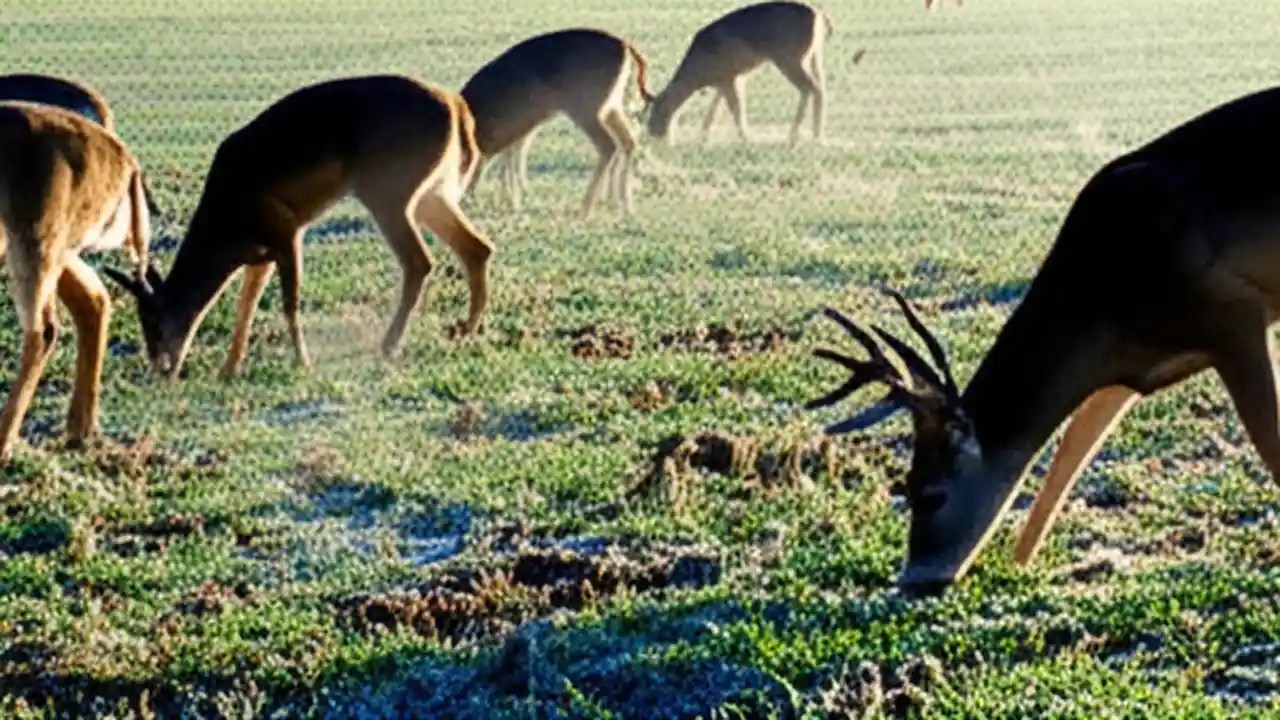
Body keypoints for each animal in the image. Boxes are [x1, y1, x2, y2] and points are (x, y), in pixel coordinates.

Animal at [0, 101, 152, 463]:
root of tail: (124, 159)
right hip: (58, 251)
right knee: (94, 300)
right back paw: (79, 431)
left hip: (34, 242)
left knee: (43, 331)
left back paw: (5, 444)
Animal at [103, 75, 493, 381]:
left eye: (153, 322)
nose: (162, 368)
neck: (228, 224)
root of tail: (457, 108)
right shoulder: (260, 253)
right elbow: (246, 305)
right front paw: (228, 369)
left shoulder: (288, 229)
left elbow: (289, 303)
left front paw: (303, 362)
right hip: (431, 192)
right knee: (477, 248)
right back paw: (465, 331)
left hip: (388, 189)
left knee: (420, 261)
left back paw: (389, 345)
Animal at [461, 28, 653, 216]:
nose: (464, 200)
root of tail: (626, 47)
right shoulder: (522, 126)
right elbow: (512, 155)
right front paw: (513, 199)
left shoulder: (520, 125)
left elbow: (511, 156)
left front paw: (512, 200)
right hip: (610, 105)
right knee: (629, 141)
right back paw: (624, 205)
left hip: (586, 106)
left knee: (609, 144)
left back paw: (586, 208)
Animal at [647, 1, 853, 145]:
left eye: (655, 111)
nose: (653, 135)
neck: (698, 73)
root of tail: (820, 16)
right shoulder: (728, 78)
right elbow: (716, 108)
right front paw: (703, 136)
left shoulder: (730, 77)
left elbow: (736, 109)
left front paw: (745, 138)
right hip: (814, 57)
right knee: (820, 89)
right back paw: (813, 135)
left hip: (790, 58)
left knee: (810, 88)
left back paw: (800, 136)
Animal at [807, 85, 1280, 595]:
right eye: (905, 486)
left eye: (931, 496)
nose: (914, 580)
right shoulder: (1132, 367)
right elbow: (1068, 451)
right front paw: (1022, 561)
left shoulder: (1233, 312)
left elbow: (1270, 443)